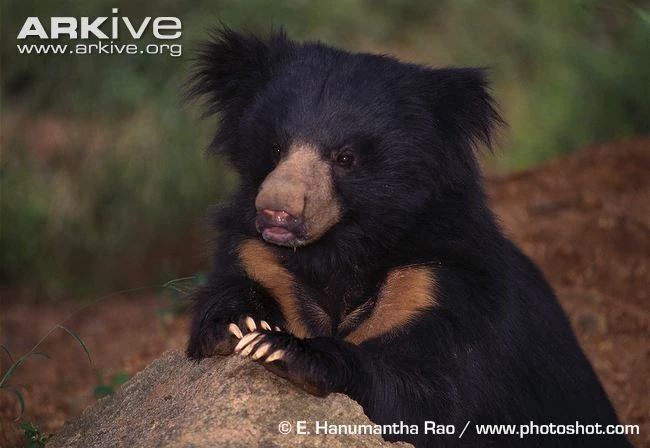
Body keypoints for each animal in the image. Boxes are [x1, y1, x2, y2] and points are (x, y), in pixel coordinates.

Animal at [184, 28, 629, 447]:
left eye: (344, 158)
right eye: (275, 148)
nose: (277, 213)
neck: (340, 248)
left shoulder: (435, 281)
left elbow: (436, 398)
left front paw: (282, 349)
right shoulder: (258, 254)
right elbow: (236, 286)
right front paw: (240, 325)